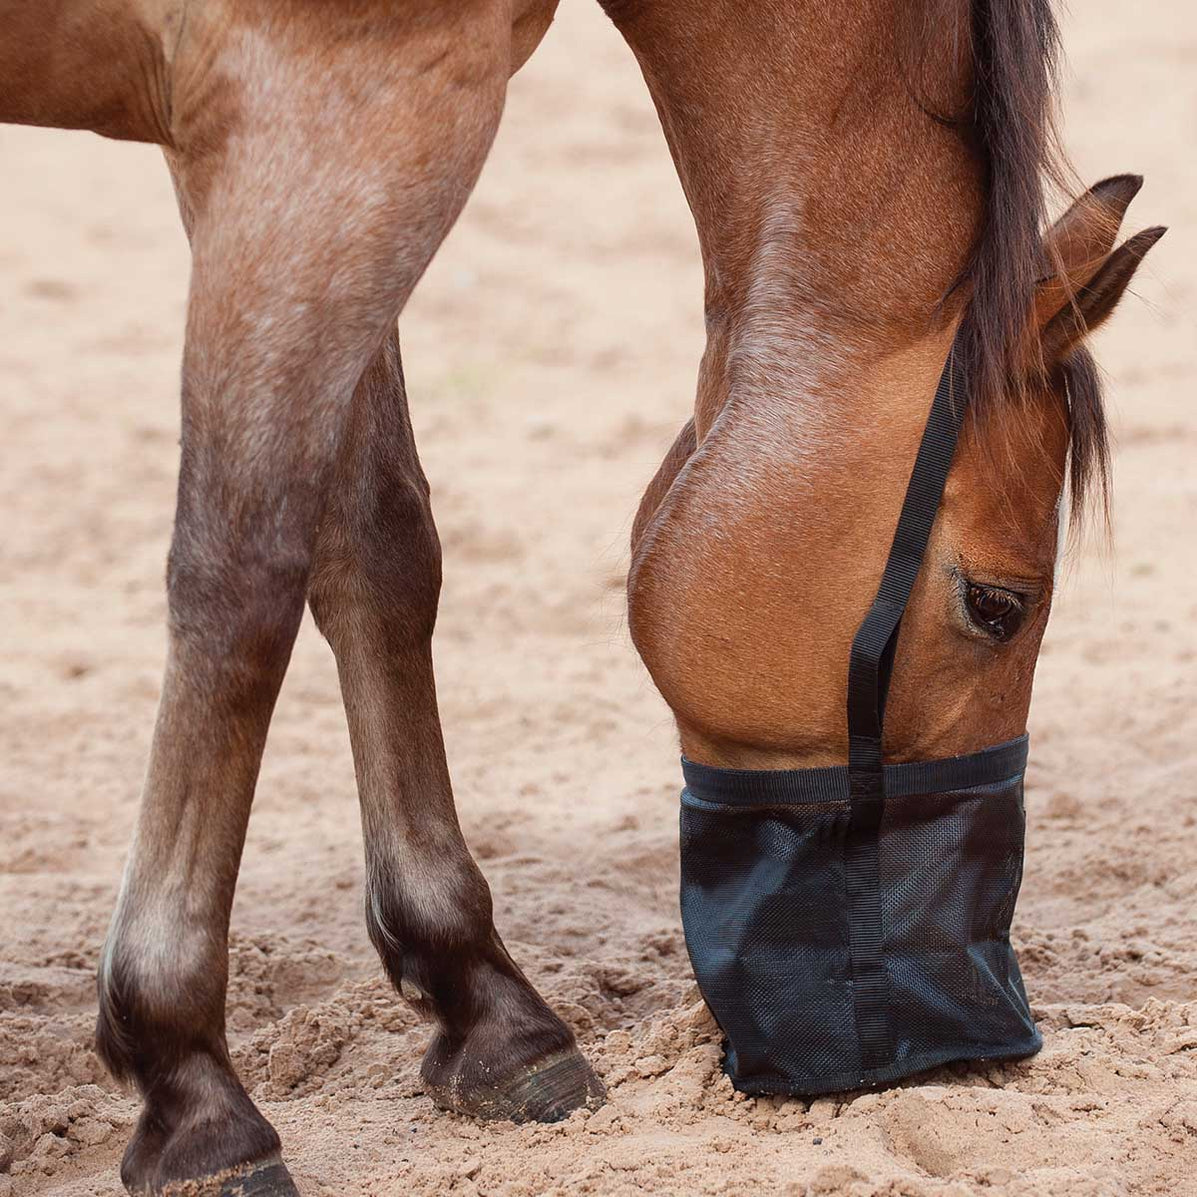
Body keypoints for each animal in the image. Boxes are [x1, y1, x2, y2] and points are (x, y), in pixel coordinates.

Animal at [0, 1, 1162, 1194]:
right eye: (997, 607)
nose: (973, 1037)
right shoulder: (327, 112)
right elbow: (242, 583)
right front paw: (186, 1076)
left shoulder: (333, 139)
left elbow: (378, 543)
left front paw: (484, 1003)